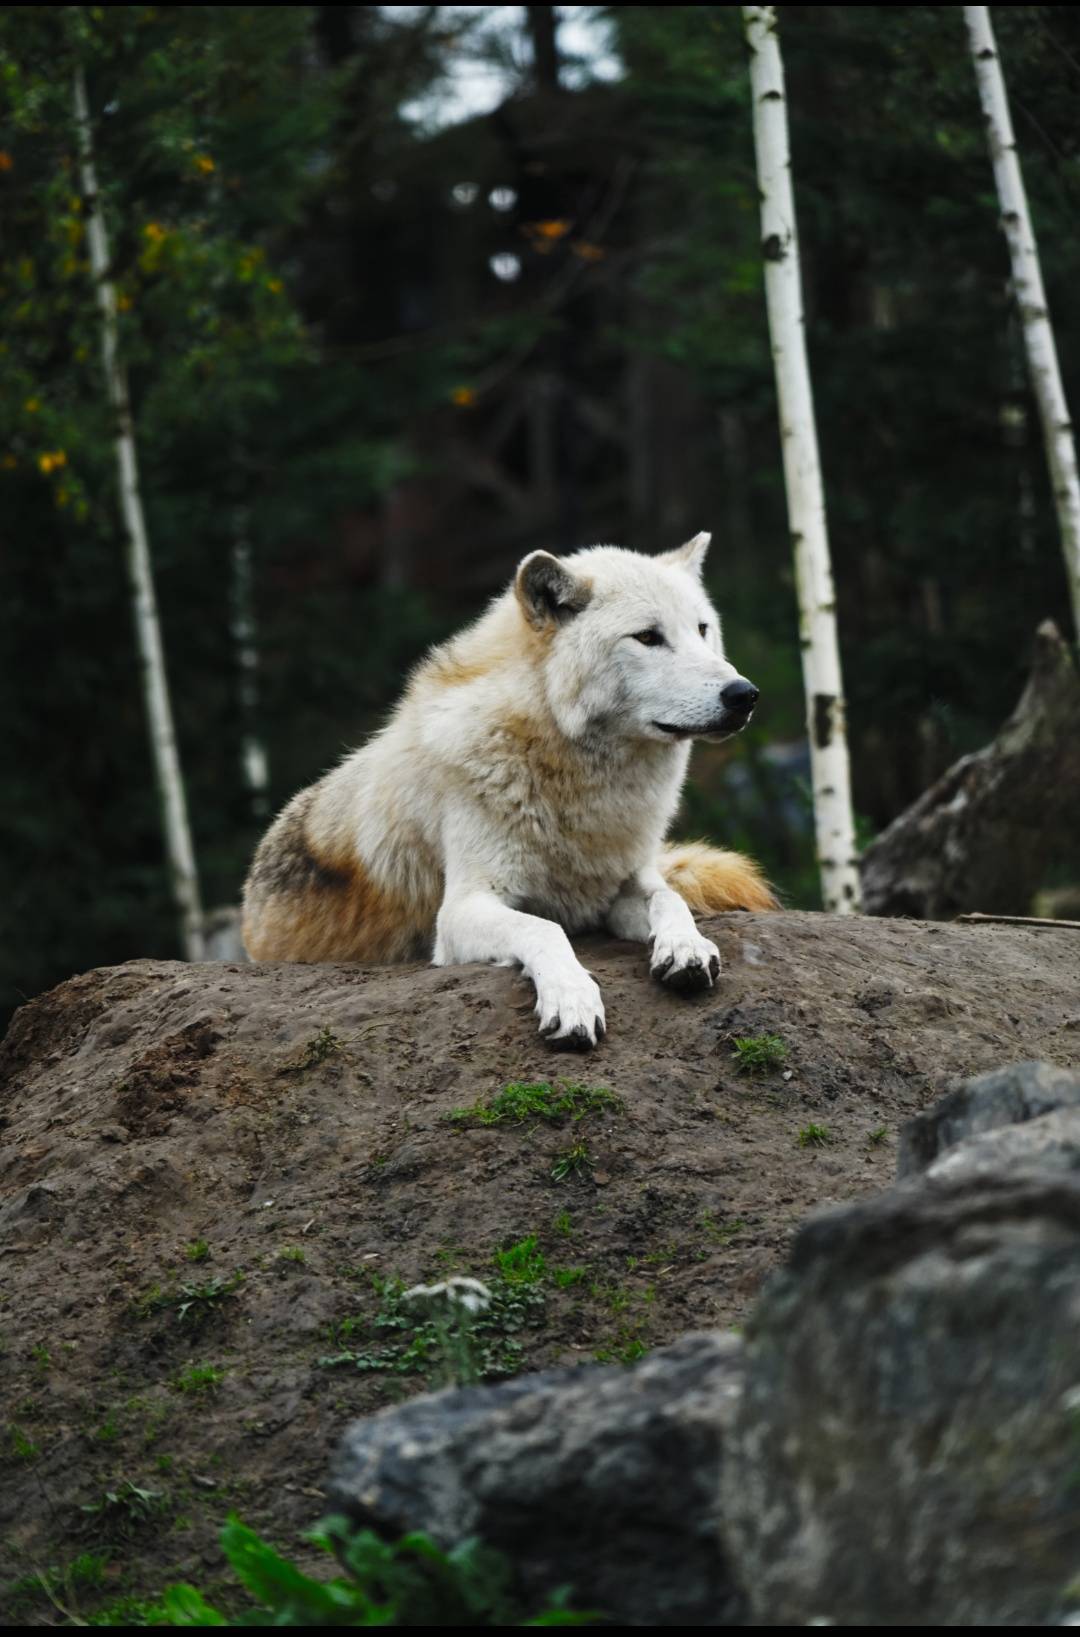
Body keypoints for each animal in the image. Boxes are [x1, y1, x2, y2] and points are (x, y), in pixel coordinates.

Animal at [242, 533, 775, 1048]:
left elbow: (670, 898)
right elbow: (544, 927)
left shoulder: (623, 885)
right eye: (648, 637)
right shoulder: (461, 911)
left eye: (702, 629)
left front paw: (687, 948)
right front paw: (572, 1000)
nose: (744, 695)